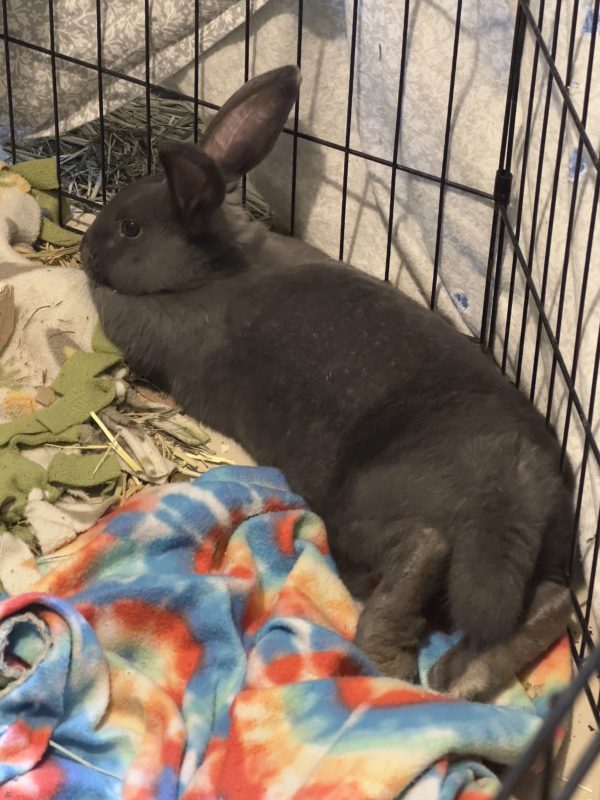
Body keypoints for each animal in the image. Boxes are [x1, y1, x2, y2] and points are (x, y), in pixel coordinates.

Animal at [80, 65, 575, 700]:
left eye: (130, 227)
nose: (86, 250)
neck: (214, 269)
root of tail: (509, 489)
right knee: (549, 602)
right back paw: (463, 678)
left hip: (358, 512)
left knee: (422, 547)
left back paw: (387, 659)